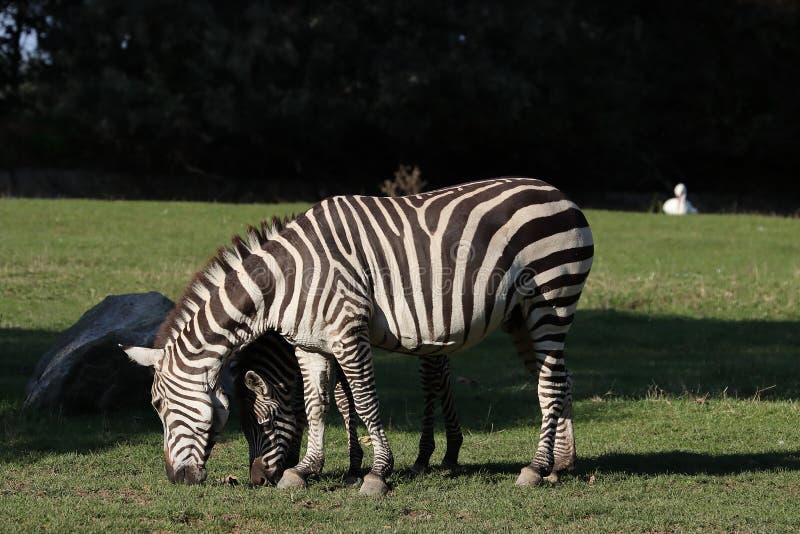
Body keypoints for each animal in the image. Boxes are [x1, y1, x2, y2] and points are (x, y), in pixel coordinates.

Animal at [233, 332, 465, 485]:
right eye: (244, 430)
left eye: (266, 423)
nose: (257, 480)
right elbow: (304, 401)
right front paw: (294, 459)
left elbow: (343, 396)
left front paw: (354, 465)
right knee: (440, 368)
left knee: (433, 374)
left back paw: (432, 454)